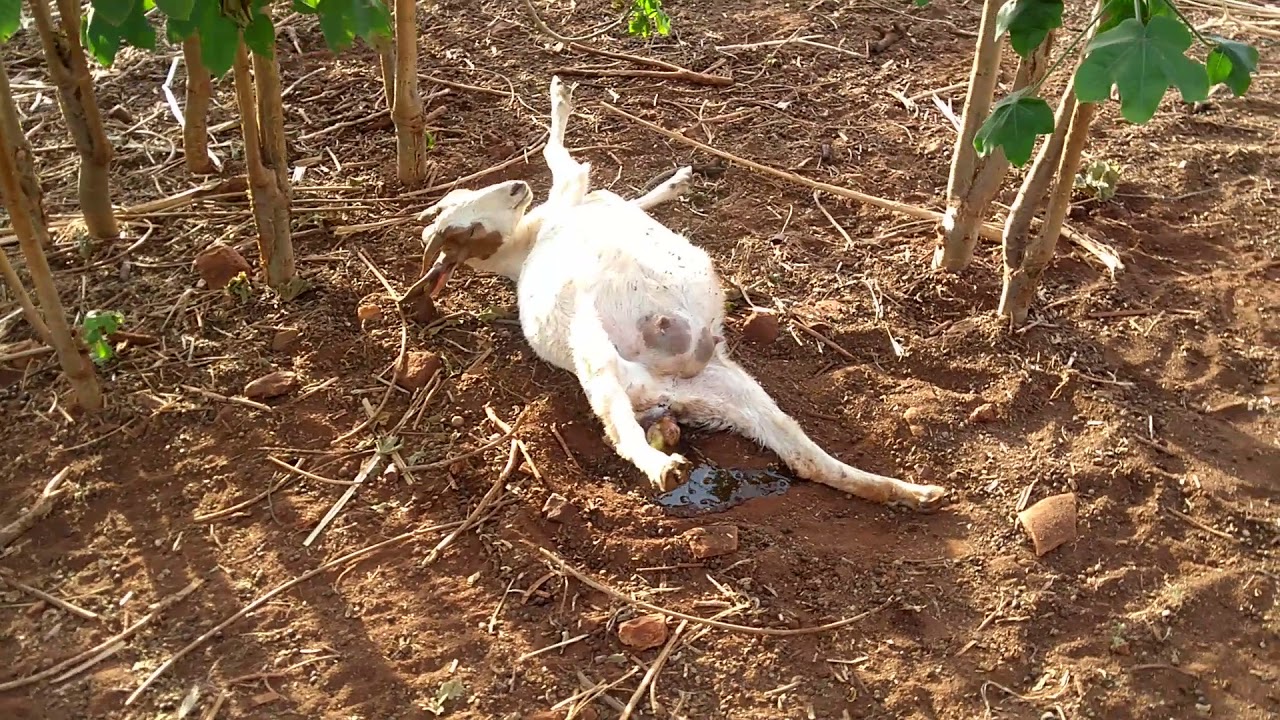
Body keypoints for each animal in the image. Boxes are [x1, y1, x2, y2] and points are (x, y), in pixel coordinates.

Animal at [410, 76, 948, 511]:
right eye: (463, 225)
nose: (516, 186)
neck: (525, 244)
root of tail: (660, 388)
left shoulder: (582, 199)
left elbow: (619, 192)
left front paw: (676, 181)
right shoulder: (571, 188)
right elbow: (561, 156)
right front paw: (561, 96)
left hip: (727, 391)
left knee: (802, 455)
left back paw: (911, 492)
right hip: (598, 359)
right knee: (618, 428)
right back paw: (661, 467)